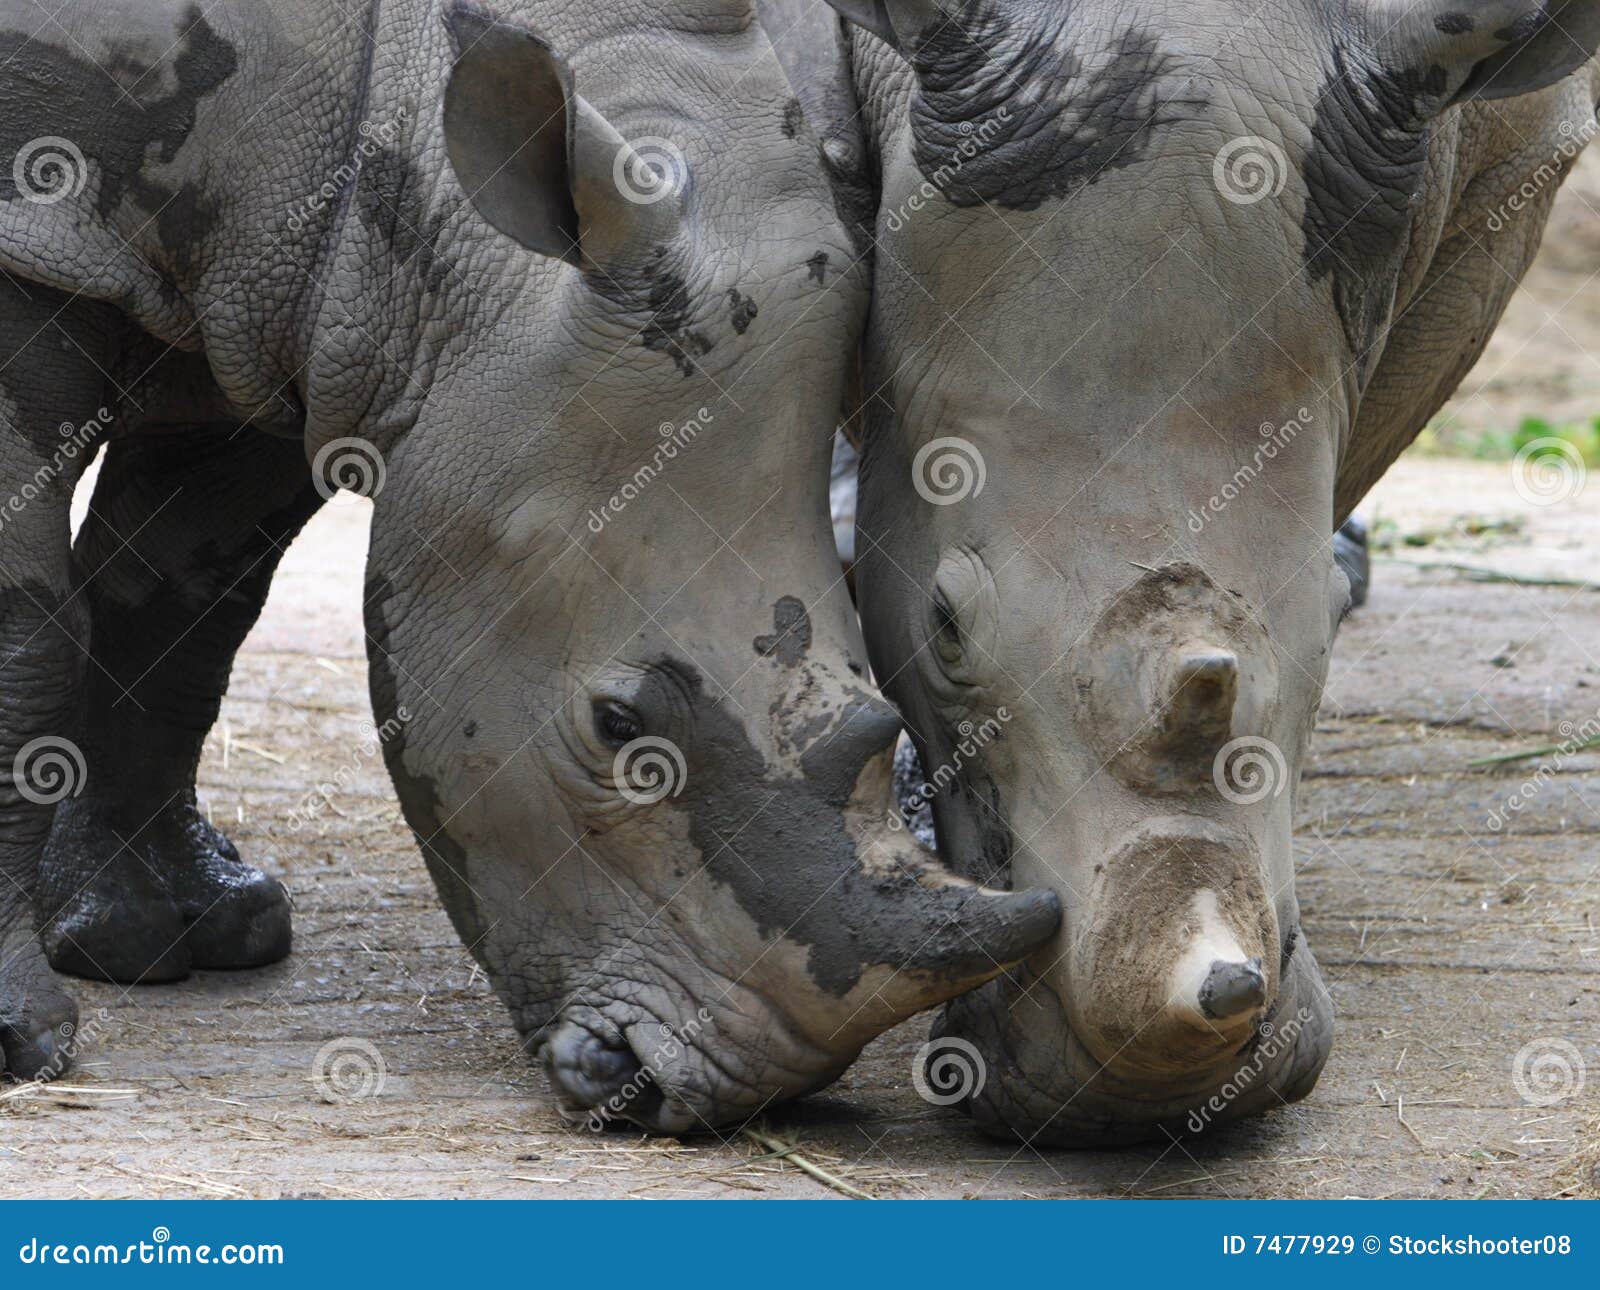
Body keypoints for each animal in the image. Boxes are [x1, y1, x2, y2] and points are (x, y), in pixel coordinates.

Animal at [0, 0, 1062, 1130]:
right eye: (621, 728)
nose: (733, 1089)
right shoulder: (41, 230)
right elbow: (29, 633)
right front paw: (25, 1042)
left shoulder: (284, 300)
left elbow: (178, 610)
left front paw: (155, 936)